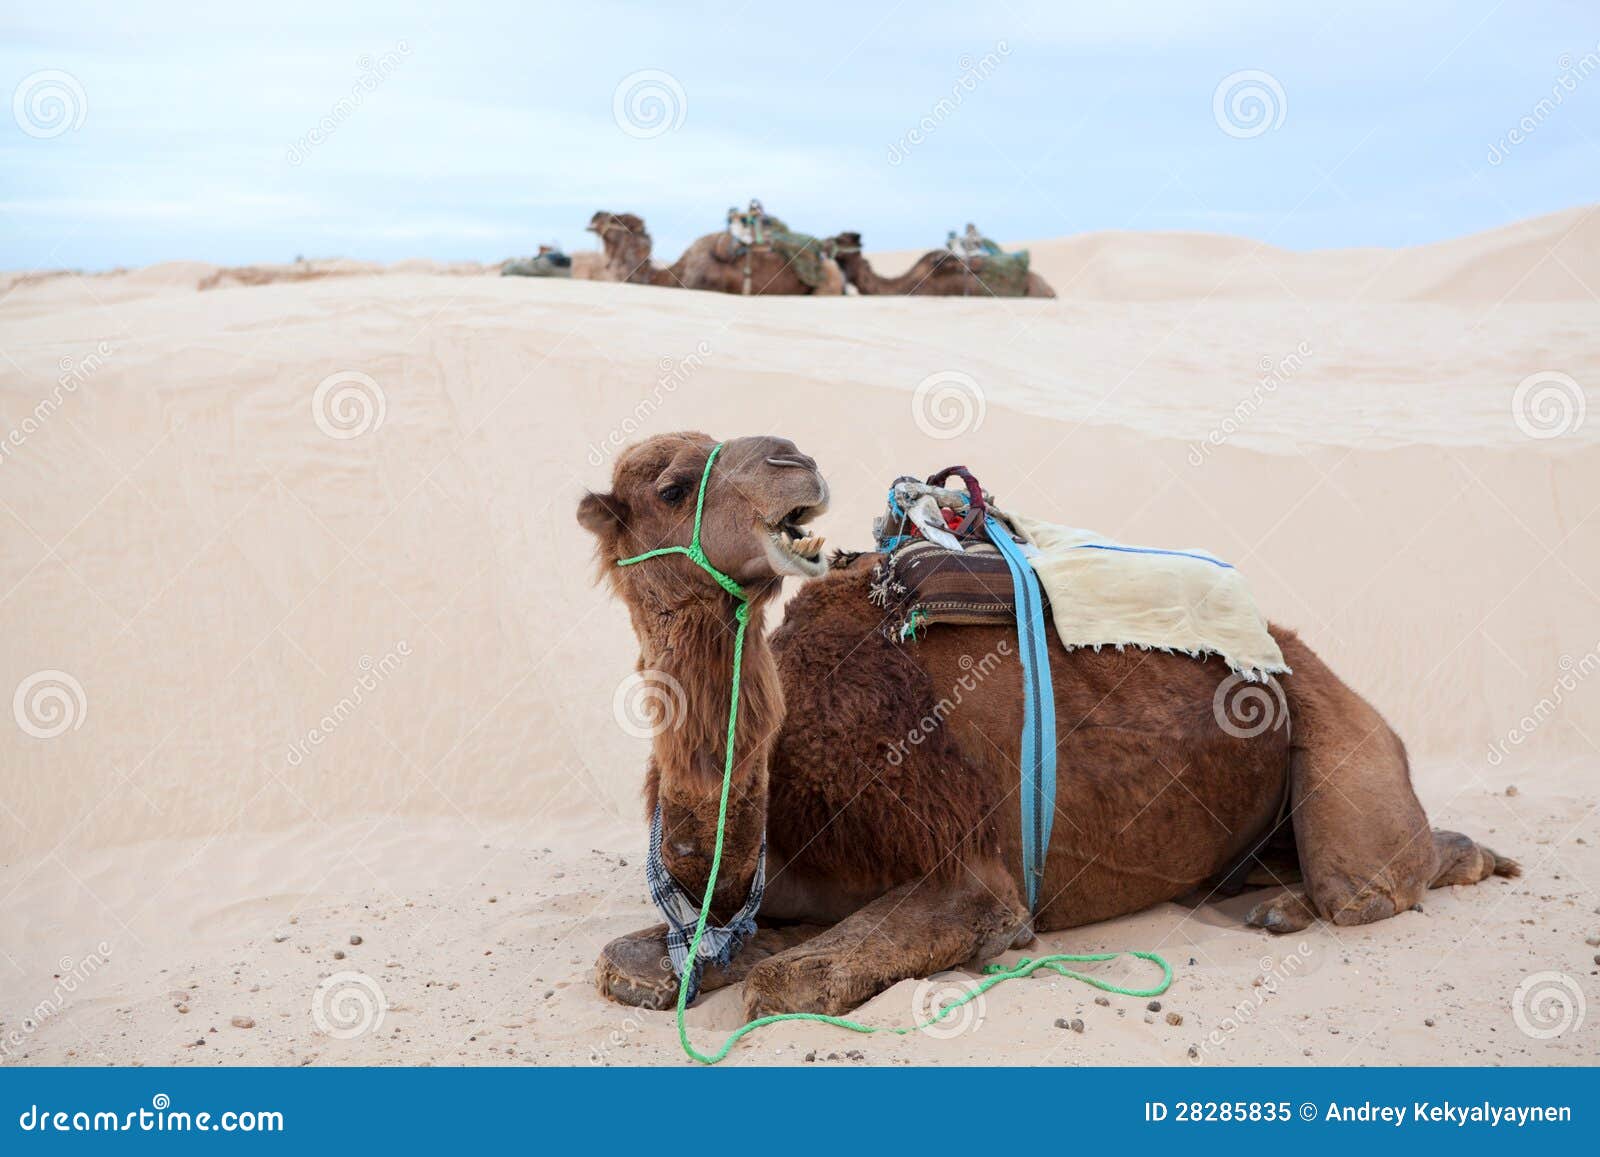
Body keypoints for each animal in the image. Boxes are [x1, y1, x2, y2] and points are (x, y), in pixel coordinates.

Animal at [577, 432, 1516, 1020]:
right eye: (670, 487)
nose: (793, 461)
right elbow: (629, 966)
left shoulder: (967, 869)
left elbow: (786, 982)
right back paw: (1273, 903)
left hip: (1341, 733)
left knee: (1368, 883)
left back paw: (1461, 860)